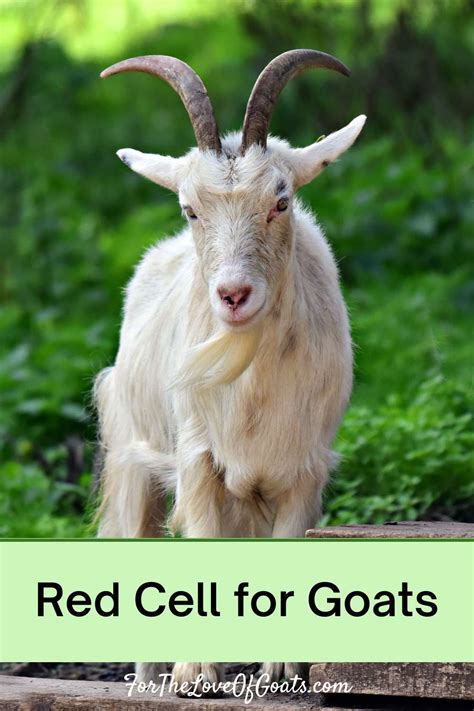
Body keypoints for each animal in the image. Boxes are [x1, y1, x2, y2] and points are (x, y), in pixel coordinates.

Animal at [95, 49, 366, 691]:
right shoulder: (197, 458)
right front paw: (195, 672)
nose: (234, 295)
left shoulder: (305, 468)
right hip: (132, 454)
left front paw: (282, 669)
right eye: (190, 208)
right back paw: (148, 678)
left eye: (281, 200)